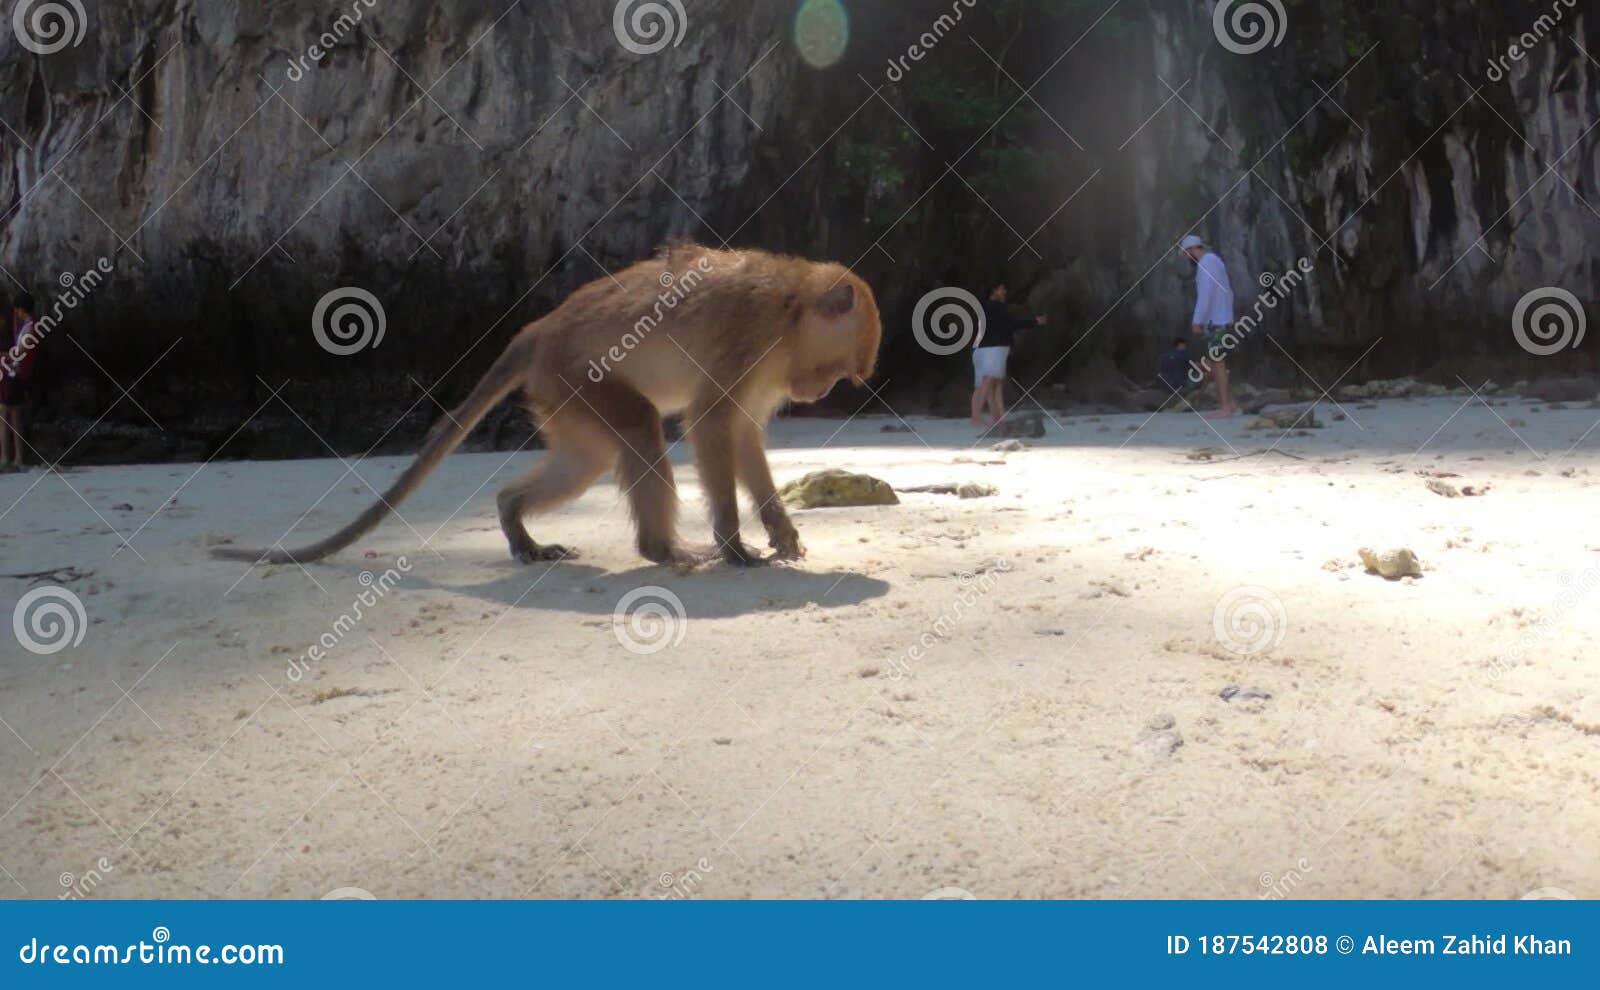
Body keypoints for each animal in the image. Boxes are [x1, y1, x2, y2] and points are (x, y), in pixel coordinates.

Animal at [213, 243, 883, 569]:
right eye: (839, 372)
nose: (819, 393)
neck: (790, 308)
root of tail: (540, 329)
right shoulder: (749, 334)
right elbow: (712, 422)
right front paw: (733, 544)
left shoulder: (767, 369)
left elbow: (742, 435)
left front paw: (781, 532)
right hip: (574, 375)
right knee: (638, 428)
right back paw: (661, 550)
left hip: (560, 394)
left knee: (588, 460)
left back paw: (515, 519)